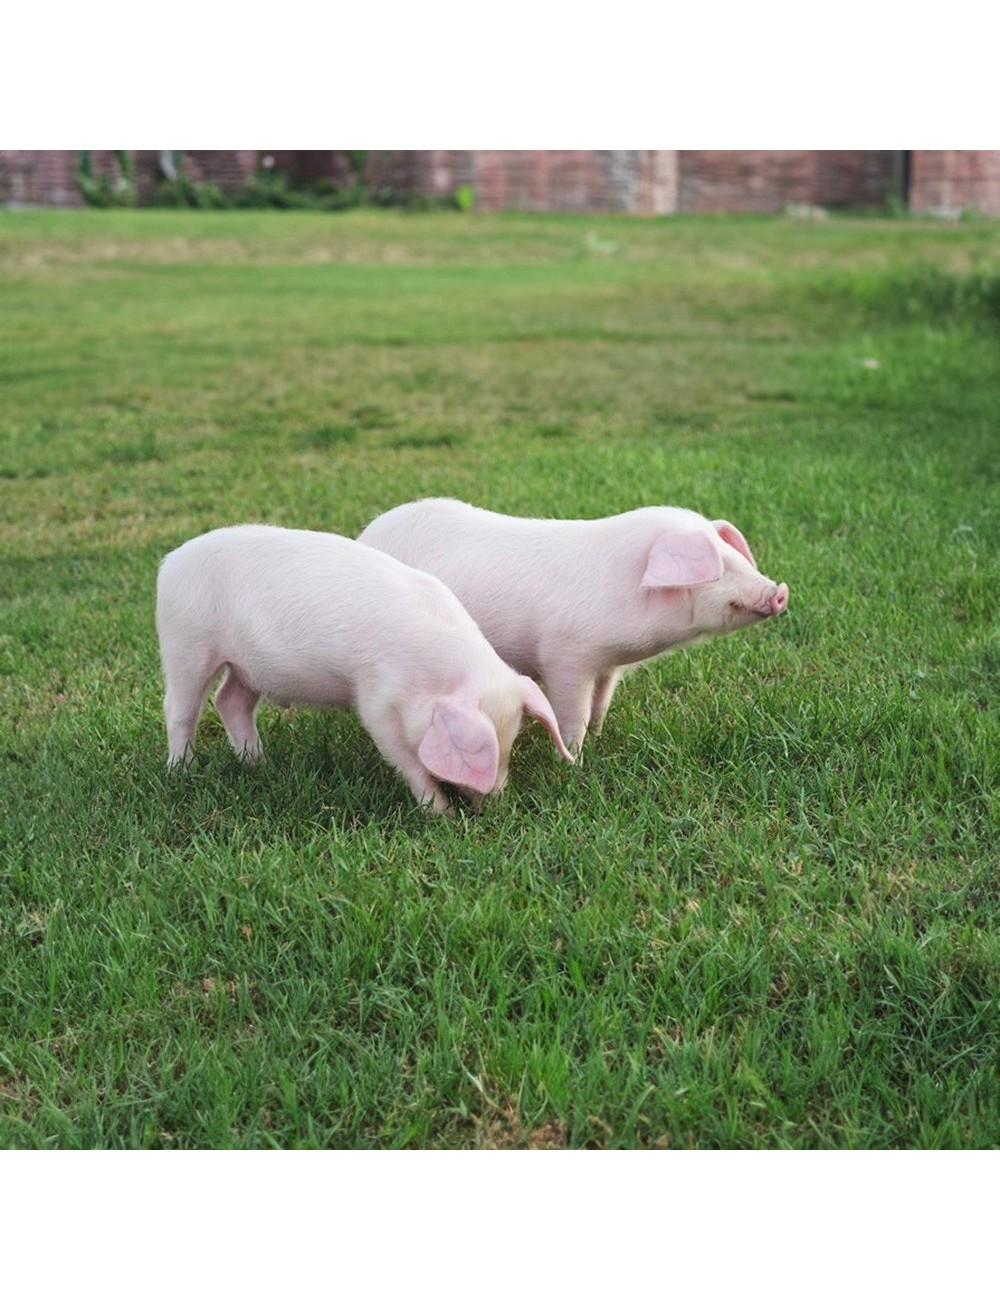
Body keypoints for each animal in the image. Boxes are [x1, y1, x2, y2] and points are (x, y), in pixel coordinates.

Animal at [155, 525, 574, 813]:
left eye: (512, 740)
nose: (494, 804)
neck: (431, 672)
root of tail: (169, 563)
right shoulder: (378, 700)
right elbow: (405, 759)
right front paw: (441, 814)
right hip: (185, 643)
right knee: (179, 709)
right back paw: (182, 771)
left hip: (246, 666)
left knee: (230, 701)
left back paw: (260, 765)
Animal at [359, 499, 788, 755]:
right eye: (721, 565)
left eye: (737, 555)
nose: (779, 591)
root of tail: (367, 532)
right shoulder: (567, 657)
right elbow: (573, 711)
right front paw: (575, 758)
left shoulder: (608, 664)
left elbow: (601, 701)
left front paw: (599, 736)